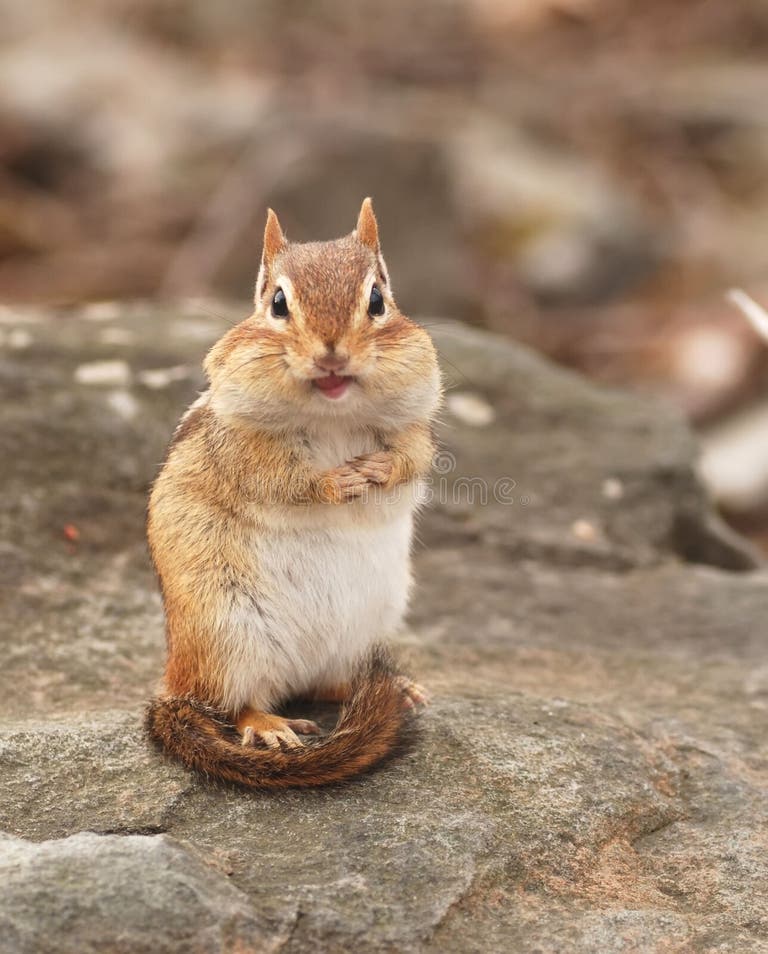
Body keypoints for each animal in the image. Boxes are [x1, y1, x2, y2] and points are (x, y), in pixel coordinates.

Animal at [145, 198, 442, 788]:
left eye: (377, 300)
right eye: (278, 304)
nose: (332, 355)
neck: (334, 413)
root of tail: (174, 684)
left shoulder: (416, 424)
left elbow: (416, 457)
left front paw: (379, 469)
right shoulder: (240, 446)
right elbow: (278, 478)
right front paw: (335, 482)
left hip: (363, 631)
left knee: (330, 684)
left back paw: (395, 688)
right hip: (227, 636)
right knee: (236, 704)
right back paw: (269, 726)